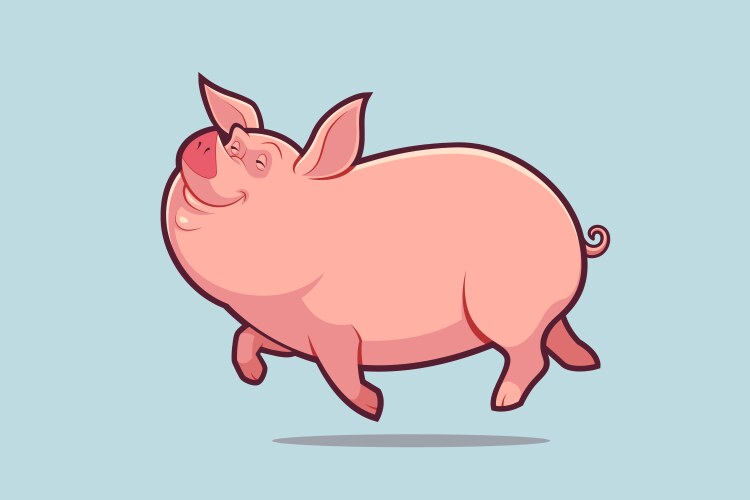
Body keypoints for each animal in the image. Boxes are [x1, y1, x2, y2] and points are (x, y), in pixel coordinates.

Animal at [161, 75, 610, 421]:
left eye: (259, 164)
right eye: (232, 140)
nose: (204, 141)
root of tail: (574, 232)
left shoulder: (336, 331)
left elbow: (341, 372)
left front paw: (373, 409)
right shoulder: (285, 333)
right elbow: (244, 337)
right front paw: (253, 377)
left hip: (508, 309)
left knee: (530, 356)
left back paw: (501, 403)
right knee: (555, 333)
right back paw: (587, 364)